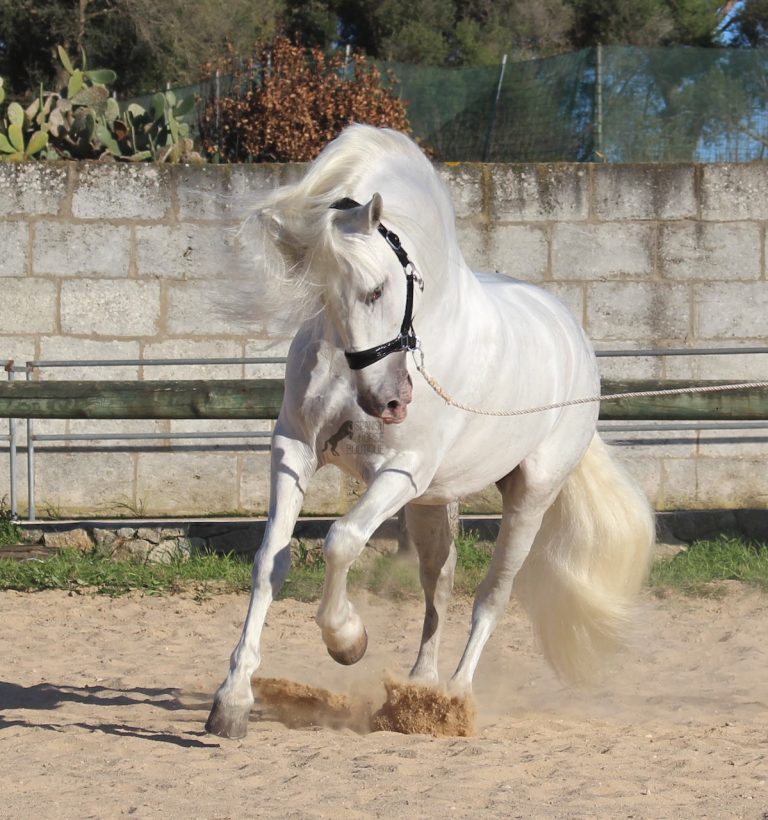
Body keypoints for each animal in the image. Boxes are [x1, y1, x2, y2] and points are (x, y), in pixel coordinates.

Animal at [206, 124, 654, 739]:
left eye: (376, 289)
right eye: (321, 295)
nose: (386, 402)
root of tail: (573, 339)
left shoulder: (401, 470)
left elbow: (341, 541)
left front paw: (347, 641)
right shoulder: (294, 451)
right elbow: (270, 560)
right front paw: (232, 699)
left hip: (528, 496)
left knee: (492, 593)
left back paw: (455, 700)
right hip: (432, 501)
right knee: (438, 585)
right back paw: (417, 691)